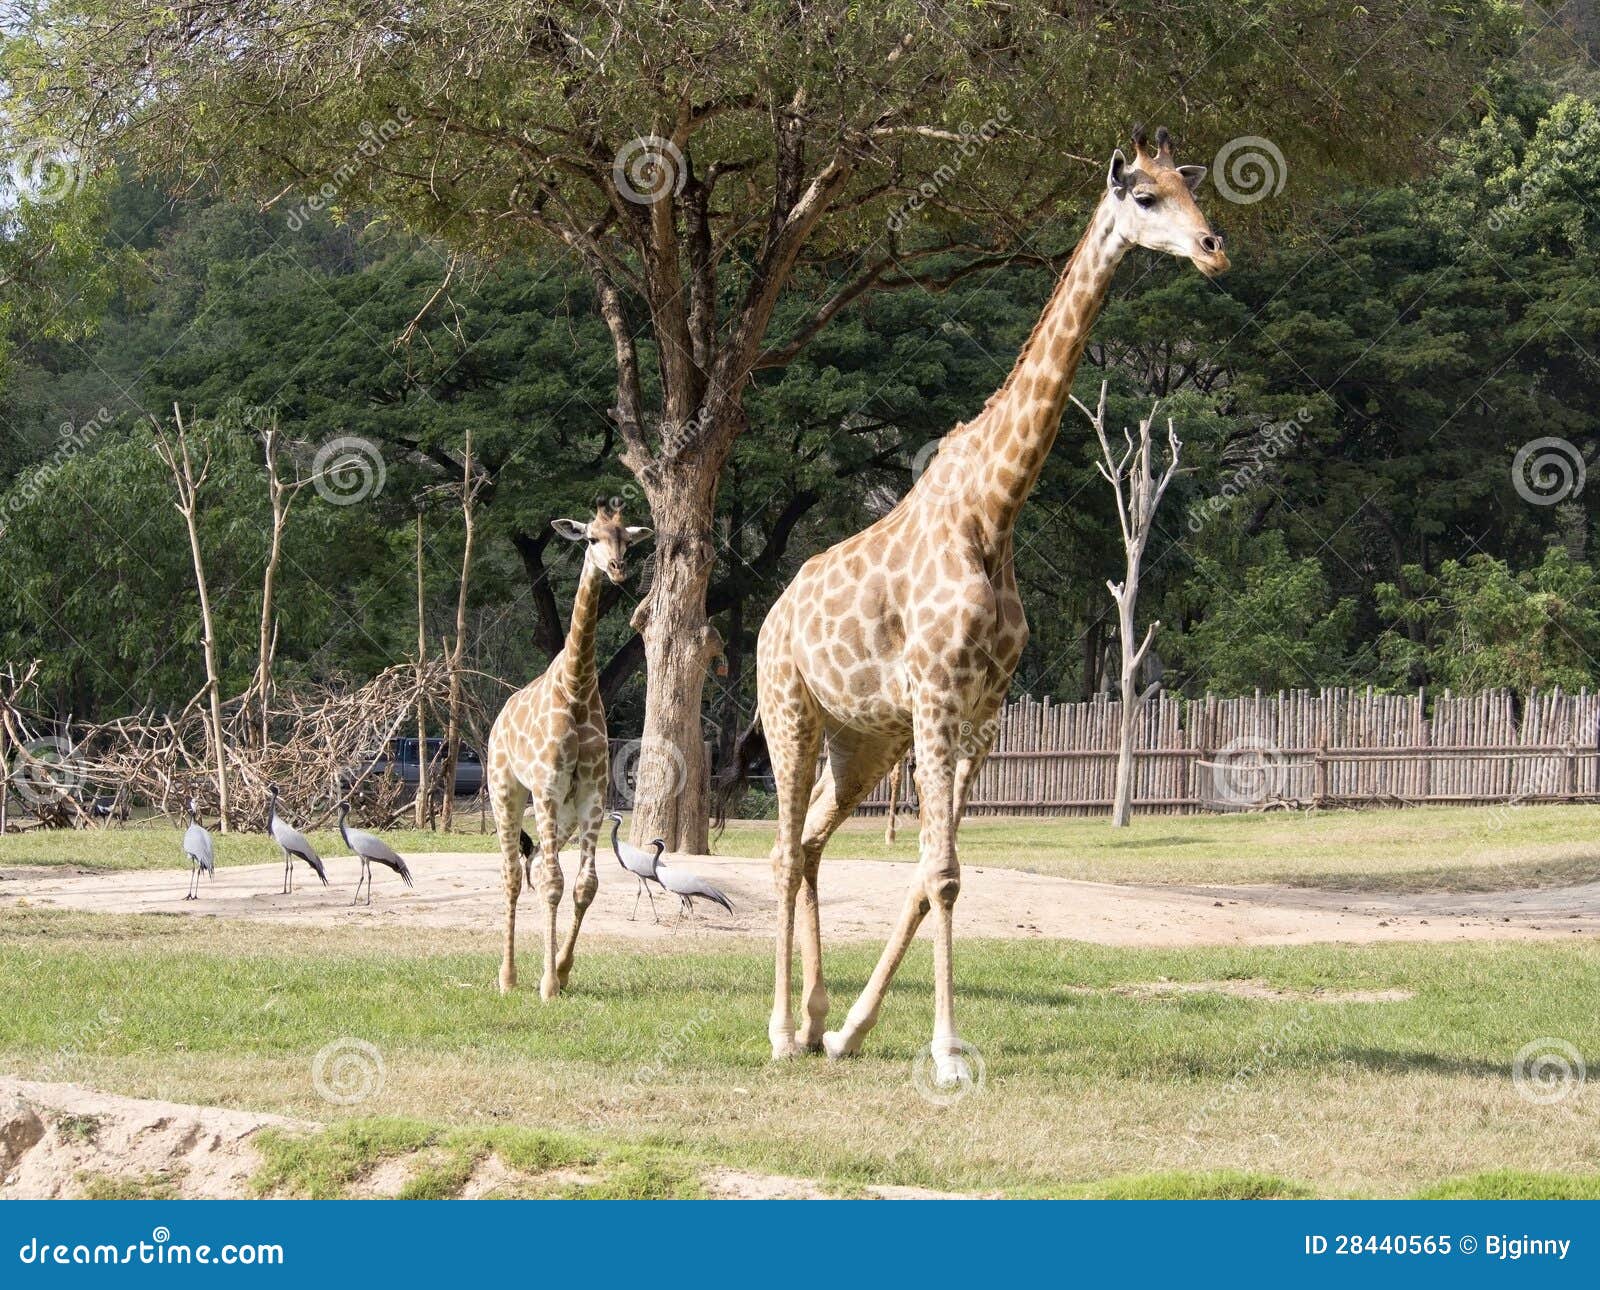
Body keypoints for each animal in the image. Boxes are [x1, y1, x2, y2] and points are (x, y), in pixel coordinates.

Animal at [488, 502, 651, 999]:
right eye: (590, 539)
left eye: (626, 540)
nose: (617, 569)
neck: (577, 690)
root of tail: (497, 721)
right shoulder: (545, 788)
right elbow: (554, 883)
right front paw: (546, 983)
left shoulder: (593, 797)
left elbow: (584, 885)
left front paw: (560, 971)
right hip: (506, 791)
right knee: (513, 874)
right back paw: (507, 977)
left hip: (562, 812)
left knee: (535, 861)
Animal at [755, 127, 1229, 1084]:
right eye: (1146, 198)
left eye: (1190, 189)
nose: (1212, 248)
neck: (995, 508)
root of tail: (767, 618)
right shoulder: (939, 697)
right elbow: (939, 874)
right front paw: (944, 1054)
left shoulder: (981, 712)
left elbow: (933, 871)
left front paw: (856, 1028)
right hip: (789, 709)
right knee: (784, 848)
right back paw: (782, 1030)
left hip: (863, 740)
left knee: (814, 842)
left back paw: (818, 1022)